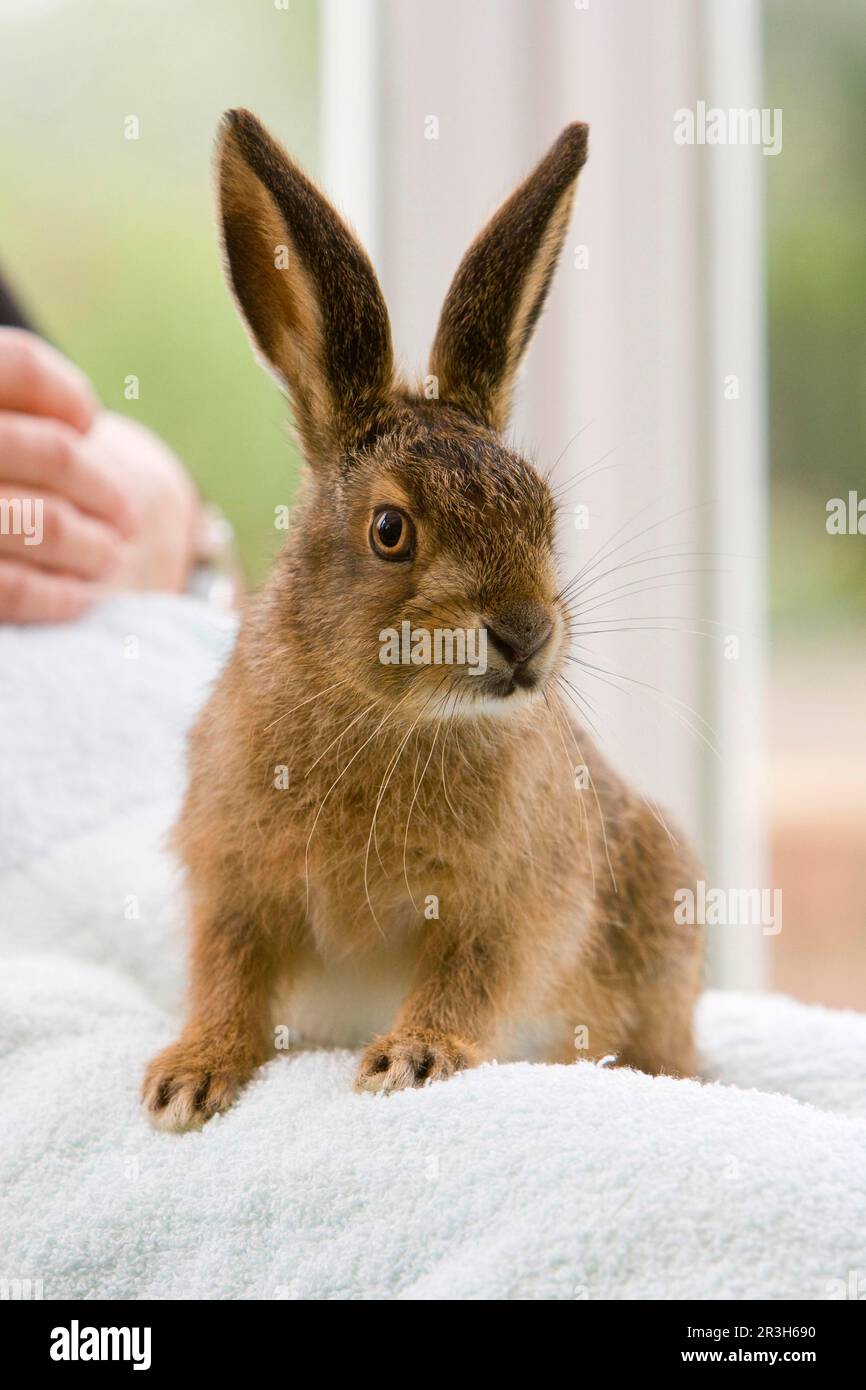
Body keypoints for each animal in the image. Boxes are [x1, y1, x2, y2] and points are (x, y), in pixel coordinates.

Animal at [143, 109, 703, 1131]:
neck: (387, 715)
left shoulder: (514, 904)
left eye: (545, 516)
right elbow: (225, 975)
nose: (525, 635)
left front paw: (413, 1057)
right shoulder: (233, 885)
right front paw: (188, 1080)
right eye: (391, 530)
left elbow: (473, 976)